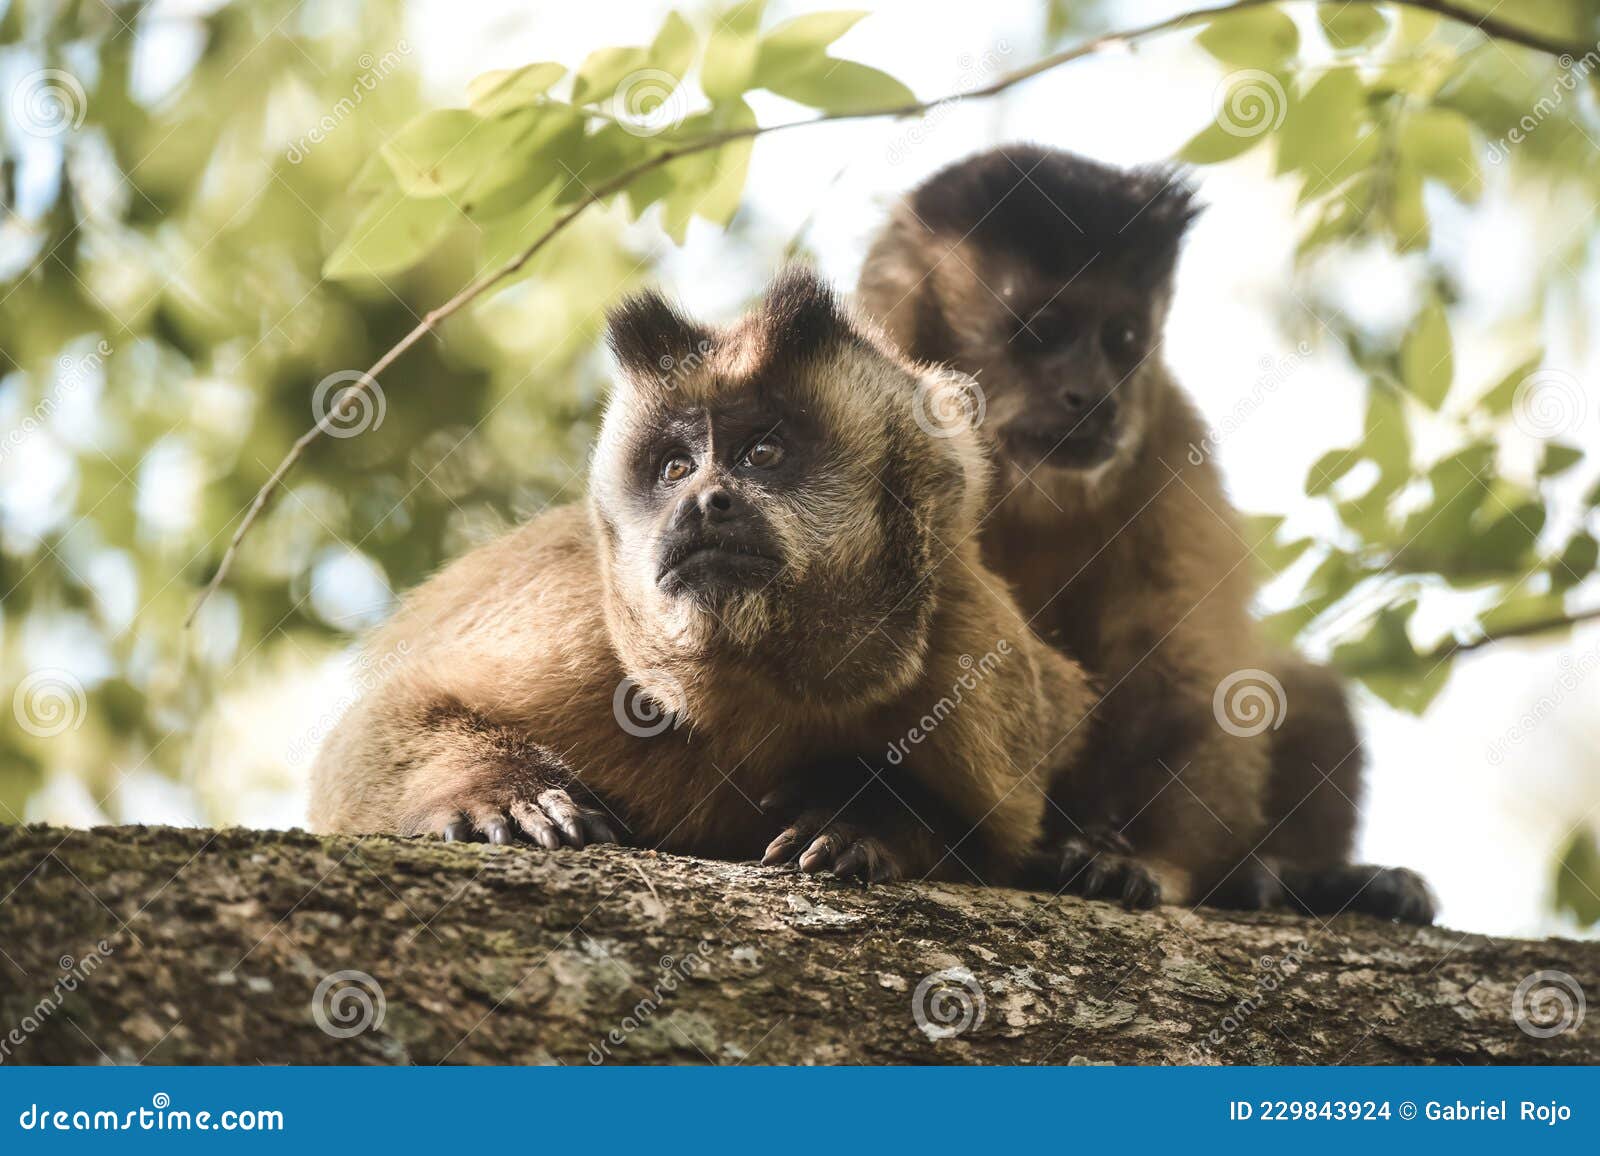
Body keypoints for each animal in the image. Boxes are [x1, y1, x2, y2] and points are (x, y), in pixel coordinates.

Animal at [308, 265, 1098, 889]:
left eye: (762, 452)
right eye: (676, 467)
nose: (703, 501)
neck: (760, 692)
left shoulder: (973, 648)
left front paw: (865, 816)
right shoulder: (585, 623)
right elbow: (378, 730)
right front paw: (500, 794)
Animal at [856, 144, 1434, 922]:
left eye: (1122, 339)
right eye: (1045, 332)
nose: (1093, 396)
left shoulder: (1168, 440)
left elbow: (1192, 679)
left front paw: (1139, 859)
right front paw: (876, 830)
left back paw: (1297, 880)